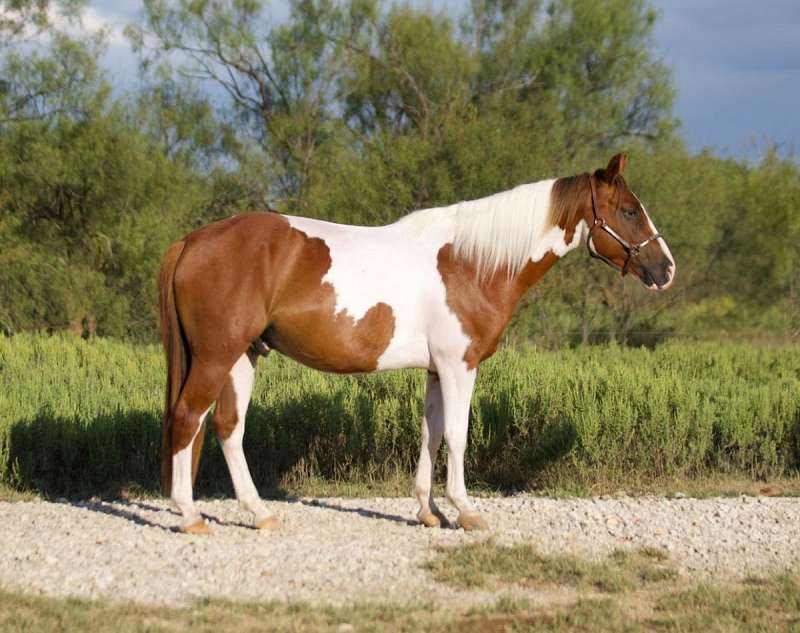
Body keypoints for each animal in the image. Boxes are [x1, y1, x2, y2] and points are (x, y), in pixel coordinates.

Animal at [158, 152, 675, 534]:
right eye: (629, 211)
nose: (665, 268)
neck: (472, 262)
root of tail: (191, 240)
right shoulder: (459, 365)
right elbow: (458, 435)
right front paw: (466, 511)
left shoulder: (435, 370)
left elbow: (431, 433)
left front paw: (430, 512)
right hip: (216, 356)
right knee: (189, 417)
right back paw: (190, 516)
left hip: (244, 356)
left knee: (228, 427)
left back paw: (260, 514)